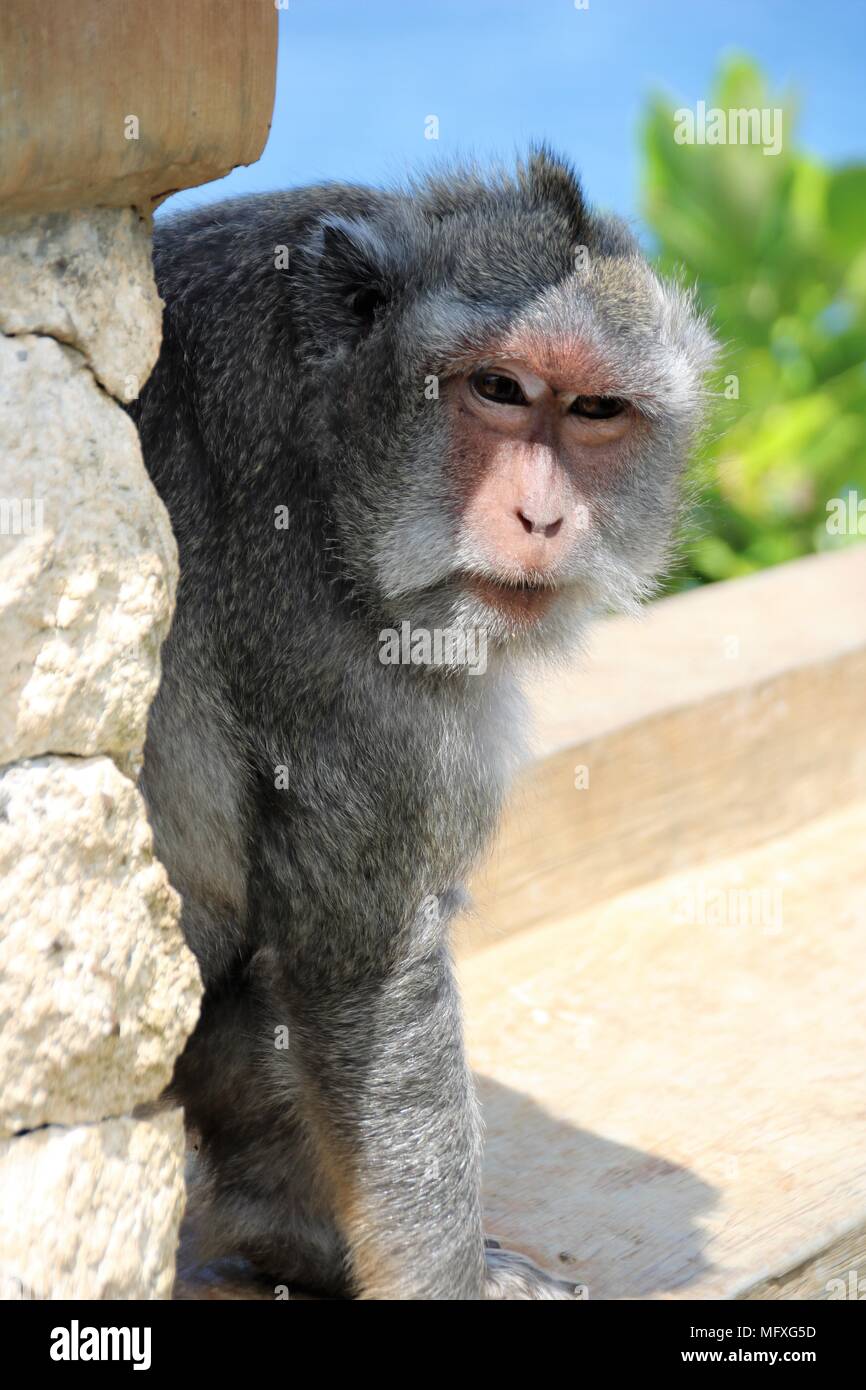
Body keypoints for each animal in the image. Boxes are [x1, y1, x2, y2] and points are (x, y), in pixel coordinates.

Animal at [130, 148, 716, 1300]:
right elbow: (370, 970)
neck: (331, 444)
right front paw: (452, 1279)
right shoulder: (342, 657)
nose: (541, 517)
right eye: (496, 389)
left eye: (594, 410)